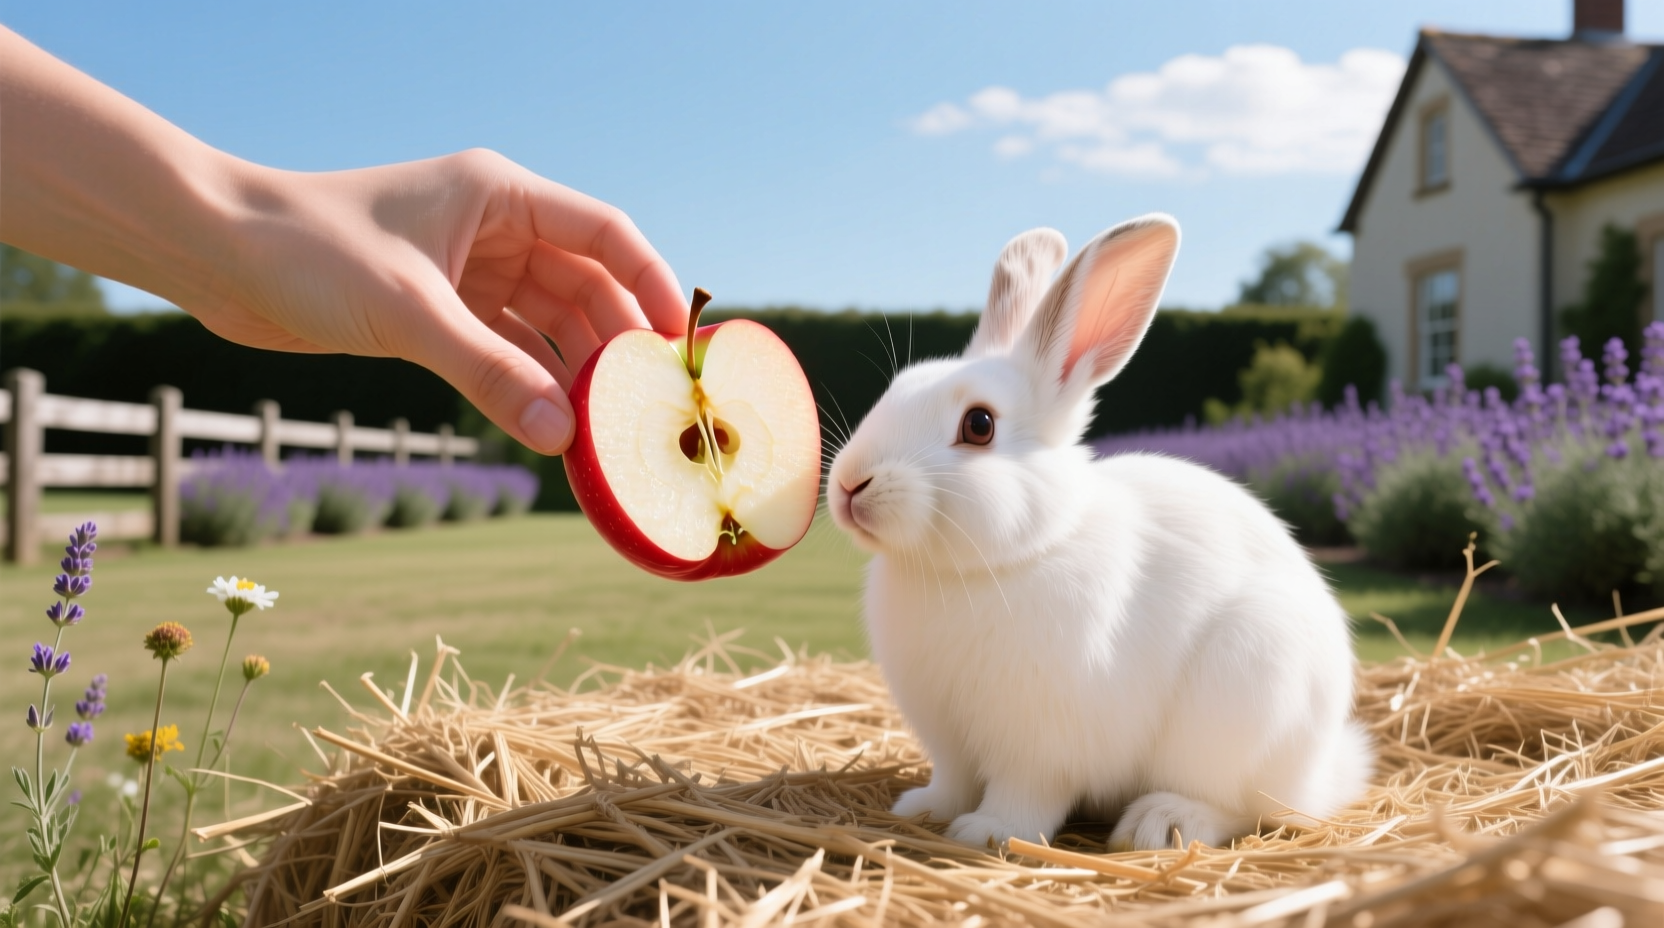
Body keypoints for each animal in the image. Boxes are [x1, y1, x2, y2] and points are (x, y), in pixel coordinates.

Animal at [826, 215, 1373, 852]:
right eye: (899, 387)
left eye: (979, 425)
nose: (850, 483)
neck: (1012, 556)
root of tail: (1321, 770)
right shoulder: (948, 739)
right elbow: (953, 780)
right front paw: (923, 809)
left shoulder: (1040, 742)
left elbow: (1025, 793)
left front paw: (988, 832)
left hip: (1246, 697)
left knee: (1249, 808)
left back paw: (1162, 824)